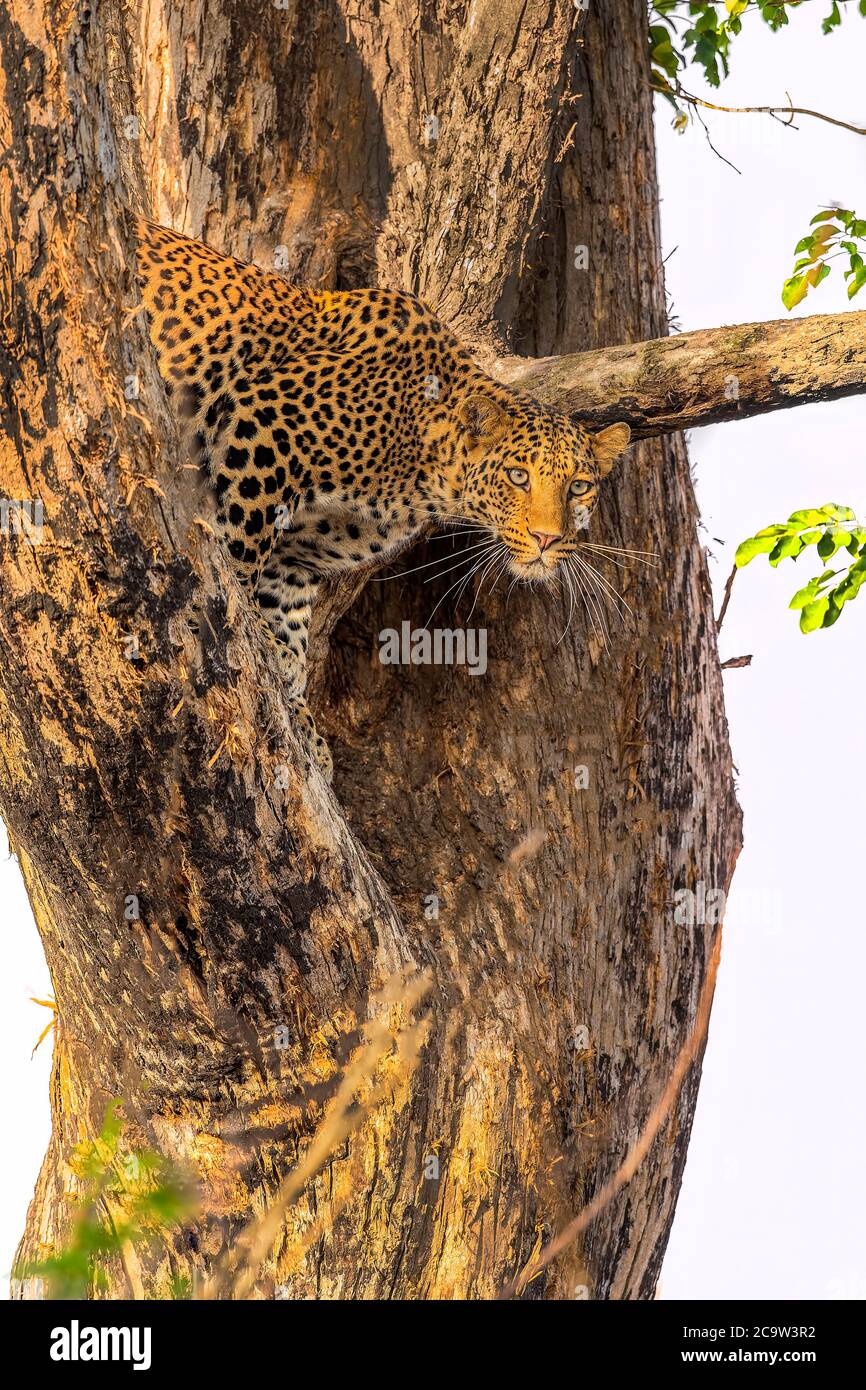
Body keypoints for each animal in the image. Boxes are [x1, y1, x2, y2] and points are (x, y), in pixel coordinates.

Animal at [133, 216, 631, 780]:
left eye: (579, 486)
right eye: (518, 476)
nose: (547, 539)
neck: (425, 466)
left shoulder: (296, 556)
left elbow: (288, 619)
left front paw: (299, 712)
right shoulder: (261, 426)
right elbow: (239, 549)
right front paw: (239, 623)